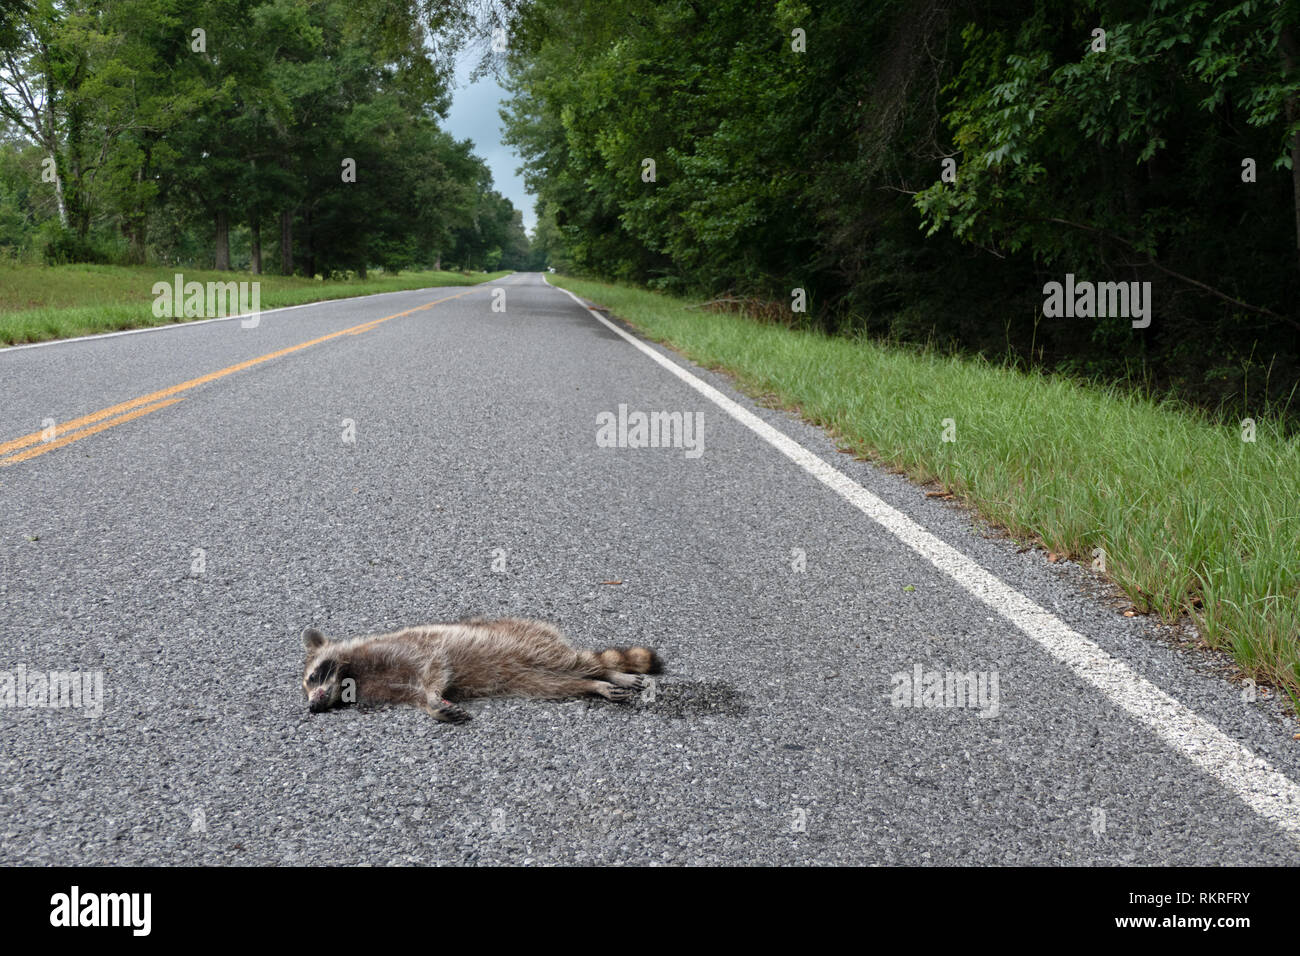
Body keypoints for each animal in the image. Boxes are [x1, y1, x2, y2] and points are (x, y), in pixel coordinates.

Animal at [300, 617, 662, 723]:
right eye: (306, 687)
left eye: (313, 676)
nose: (312, 705)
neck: (354, 675)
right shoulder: (387, 688)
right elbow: (414, 696)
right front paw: (432, 706)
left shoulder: (408, 649)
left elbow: (434, 666)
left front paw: (433, 697)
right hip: (529, 678)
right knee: (558, 685)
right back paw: (593, 685)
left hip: (532, 643)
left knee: (582, 661)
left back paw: (609, 673)